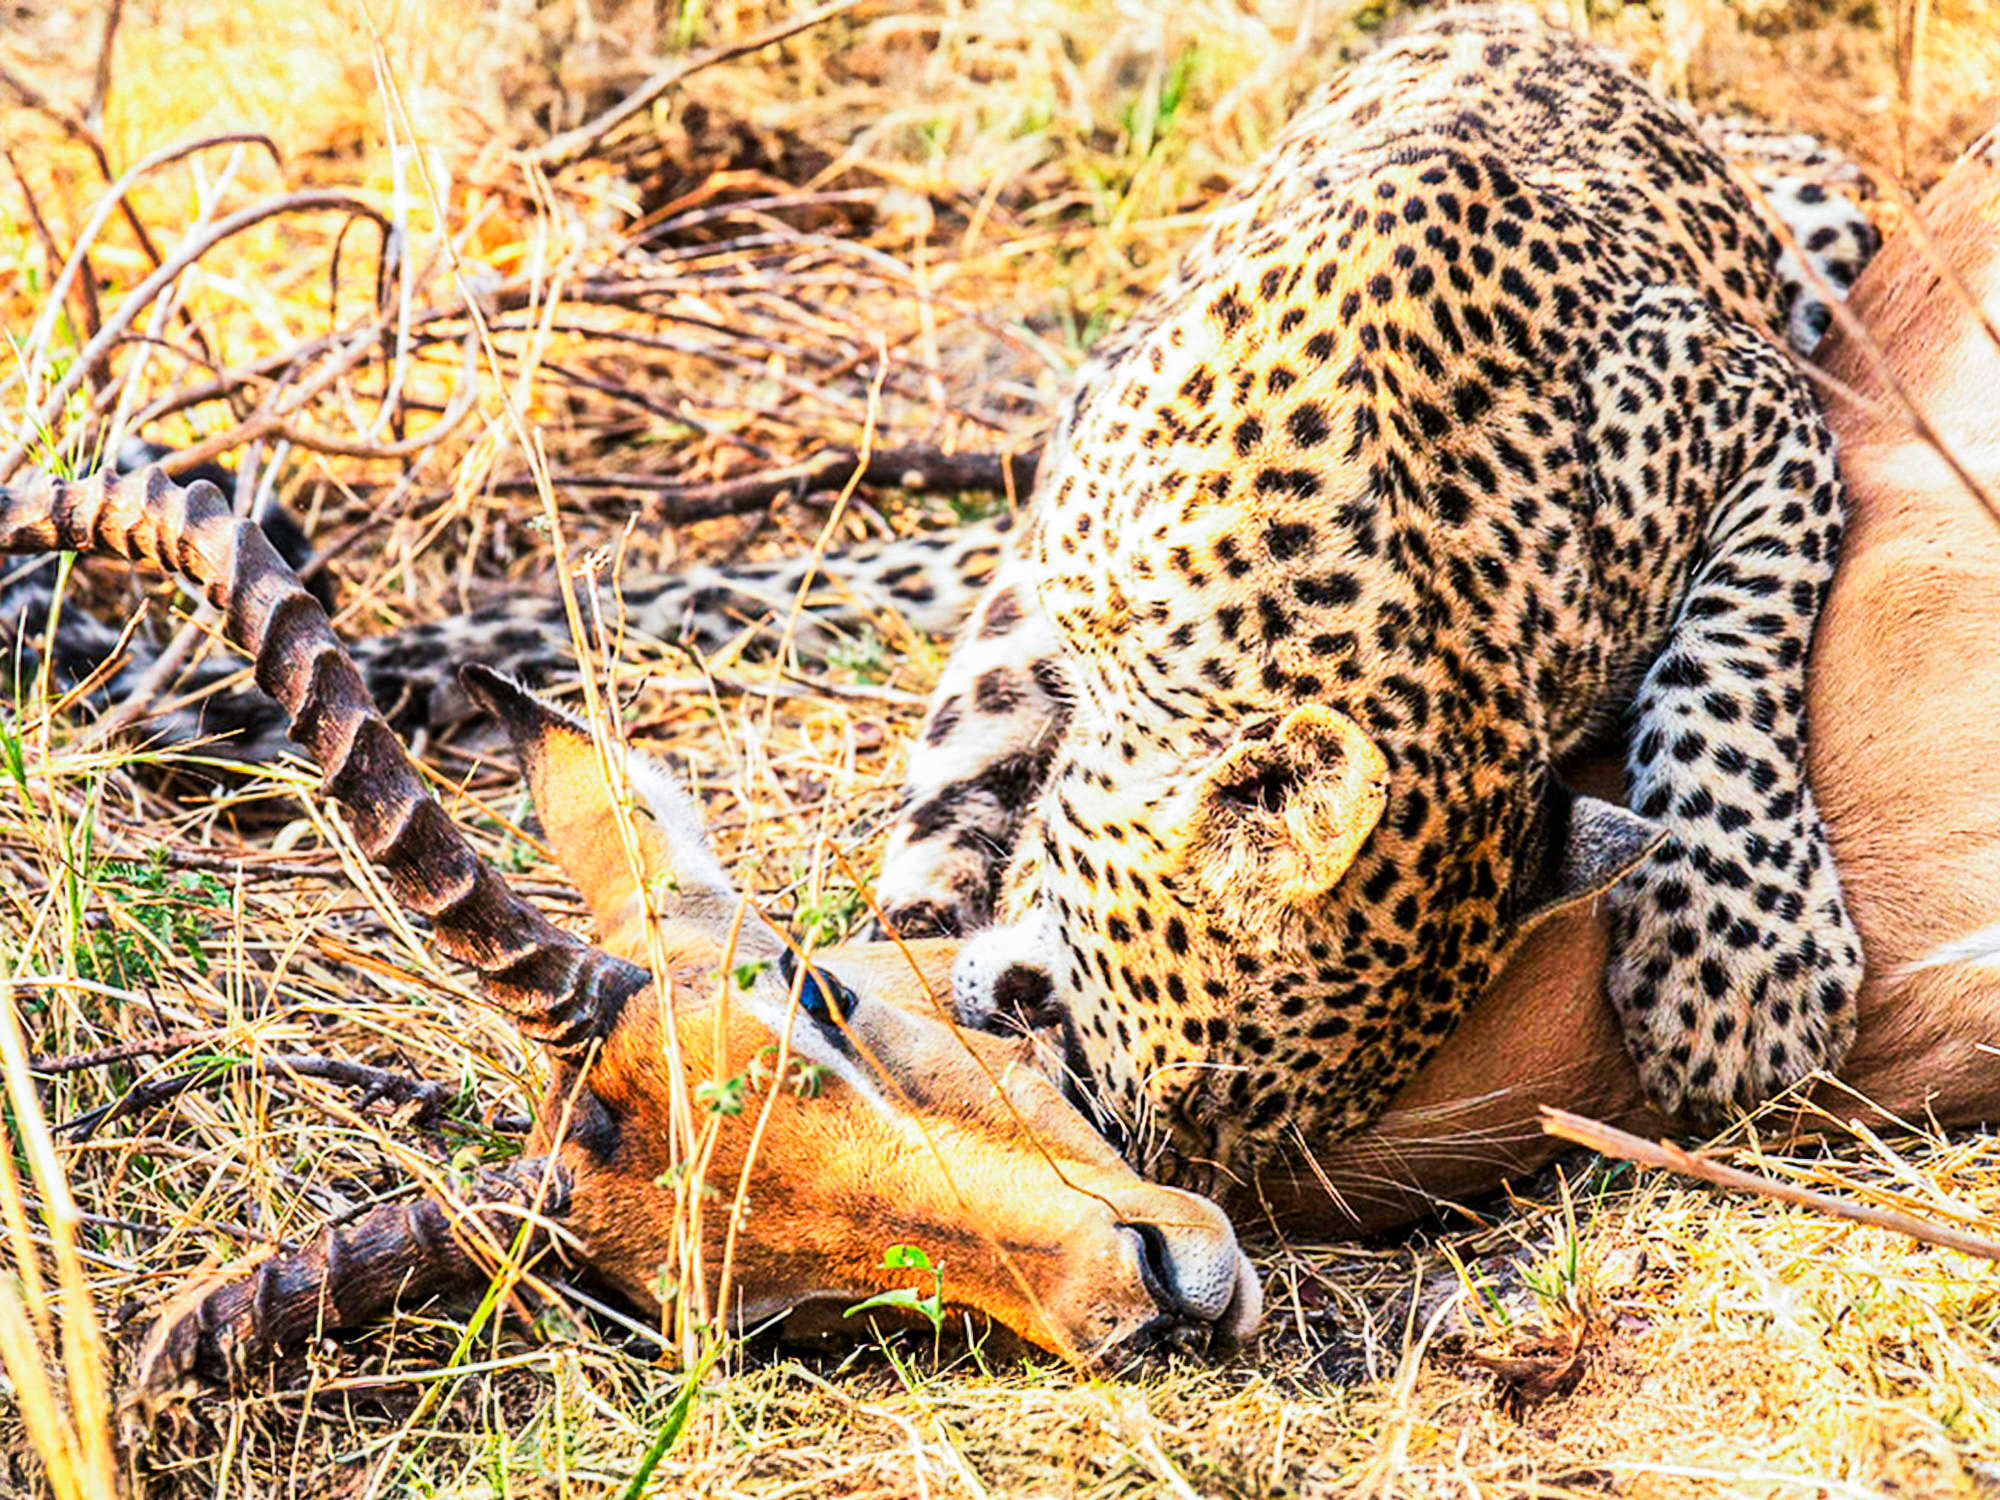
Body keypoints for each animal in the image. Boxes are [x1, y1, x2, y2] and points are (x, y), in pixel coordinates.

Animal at [6, 8, 1880, 1184]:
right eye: (1189, 1088)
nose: (1167, 1170)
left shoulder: (1760, 411)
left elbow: (1736, 651)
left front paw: (1739, 953)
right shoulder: (1043, 588)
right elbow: (953, 804)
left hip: (1829, 205)